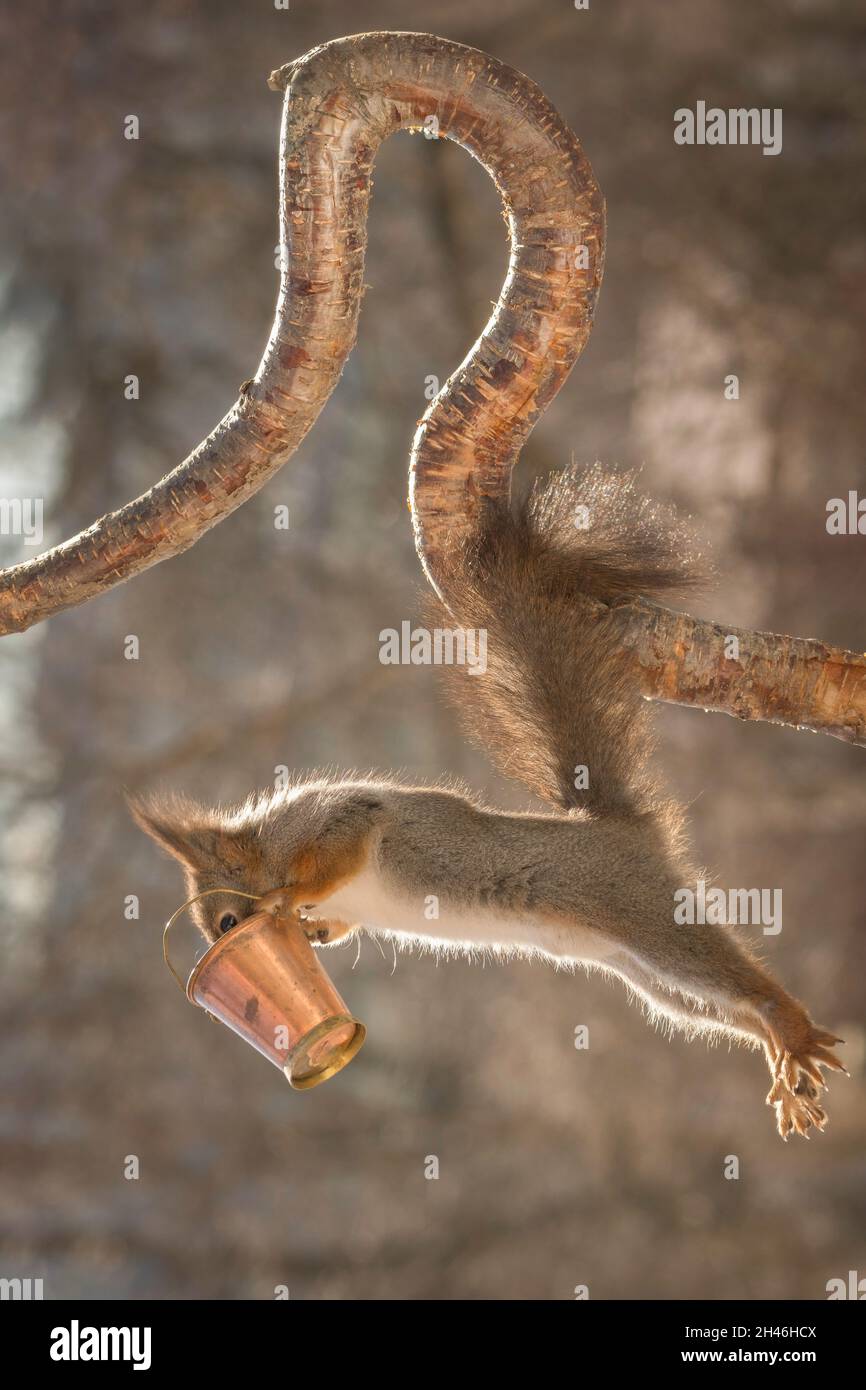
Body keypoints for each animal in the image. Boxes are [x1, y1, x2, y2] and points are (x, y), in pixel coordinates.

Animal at [129, 464, 846, 1140]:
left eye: (227, 922)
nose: (234, 935)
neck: (268, 845)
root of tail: (620, 829)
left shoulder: (341, 819)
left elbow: (334, 856)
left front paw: (285, 902)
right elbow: (338, 918)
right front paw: (315, 929)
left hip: (650, 920)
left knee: (739, 981)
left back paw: (790, 1027)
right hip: (645, 976)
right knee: (721, 1009)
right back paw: (780, 1057)